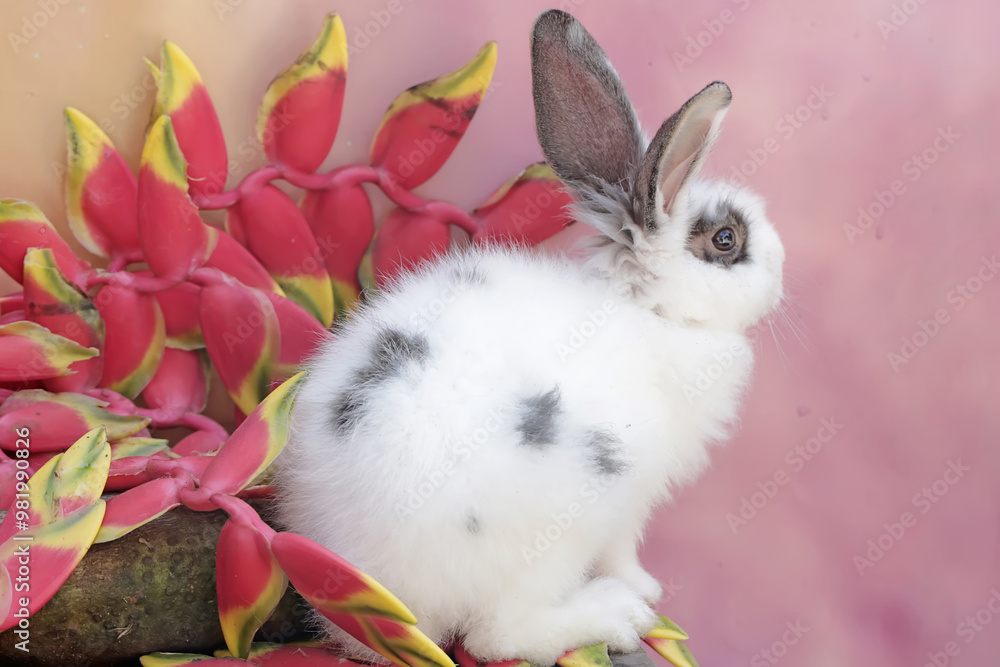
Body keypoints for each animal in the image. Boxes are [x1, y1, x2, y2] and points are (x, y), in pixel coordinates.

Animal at [273, 8, 784, 666]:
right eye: (725, 241)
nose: (781, 268)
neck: (647, 310)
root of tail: (381, 605)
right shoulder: (634, 496)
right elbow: (623, 550)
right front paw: (646, 587)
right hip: (564, 527)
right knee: (498, 636)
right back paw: (615, 615)